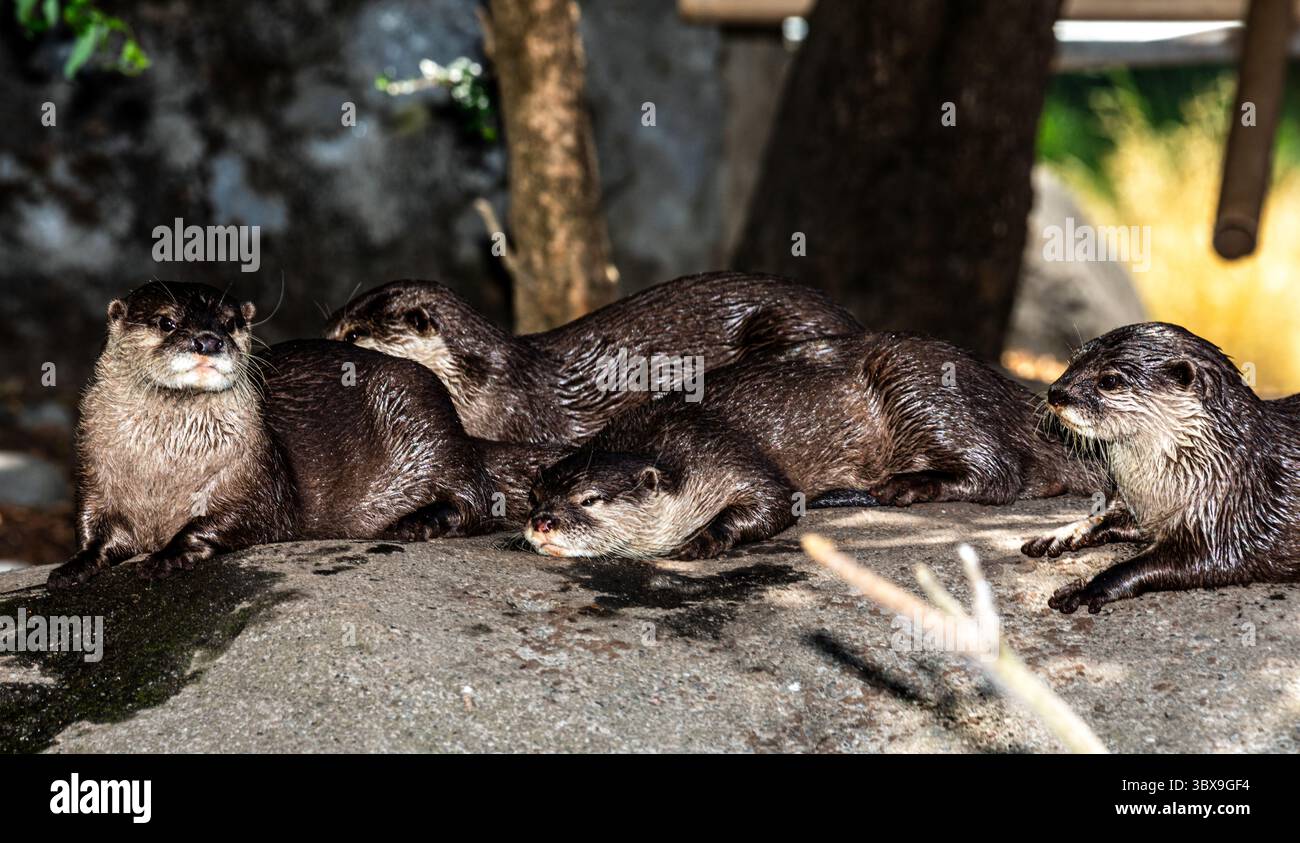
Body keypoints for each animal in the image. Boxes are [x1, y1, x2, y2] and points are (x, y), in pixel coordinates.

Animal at [48, 281, 522, 588]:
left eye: (231, 324)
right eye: (167, 322)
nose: (208, 340)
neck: (163, 471)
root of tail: (462, 432)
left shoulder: (255, 476)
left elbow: (242, 519)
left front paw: (169, 554)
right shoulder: (93, 471)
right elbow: (93, 527)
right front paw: (74, 565)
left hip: (428, 422)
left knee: (476, 500)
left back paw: (415, 522)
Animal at [522, 333, 1108, 560]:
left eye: (590, 500)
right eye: (534, 496)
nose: (542, 523)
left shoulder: (723, 454)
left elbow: (773, 503)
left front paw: (701, 539)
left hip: (920, 389)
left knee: (999, 473)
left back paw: (898, 488)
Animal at [1021, 321, 1300, 614]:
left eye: (1109, 381)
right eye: (1073, 361)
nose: (1055, 393)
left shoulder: (1224, 523)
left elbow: (1140, 567)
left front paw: (1086, 588)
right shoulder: (1137, 505)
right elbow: (1101, 518)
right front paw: (1062, 534)